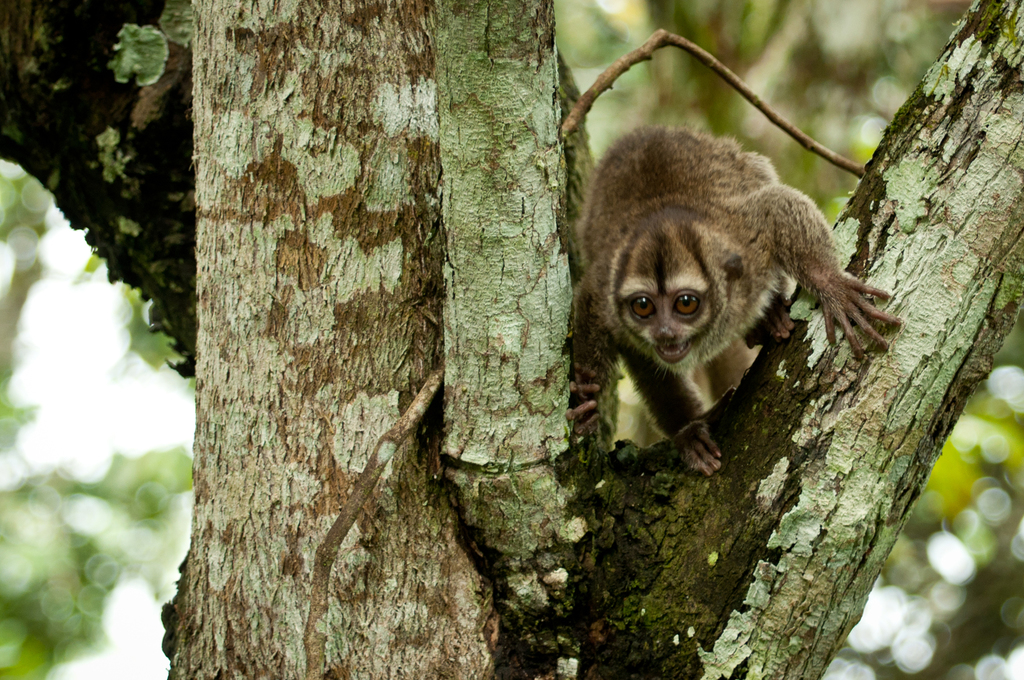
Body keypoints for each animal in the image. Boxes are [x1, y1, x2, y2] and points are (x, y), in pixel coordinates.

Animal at [566, 126, 900, 476]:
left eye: (686, 303)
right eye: (643, 306)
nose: (664, 333)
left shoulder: (747, 243)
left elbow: (775, 205)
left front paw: (831, 286)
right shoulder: (605, 294)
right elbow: (594, 308)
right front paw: (591, 400)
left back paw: (769, 318)